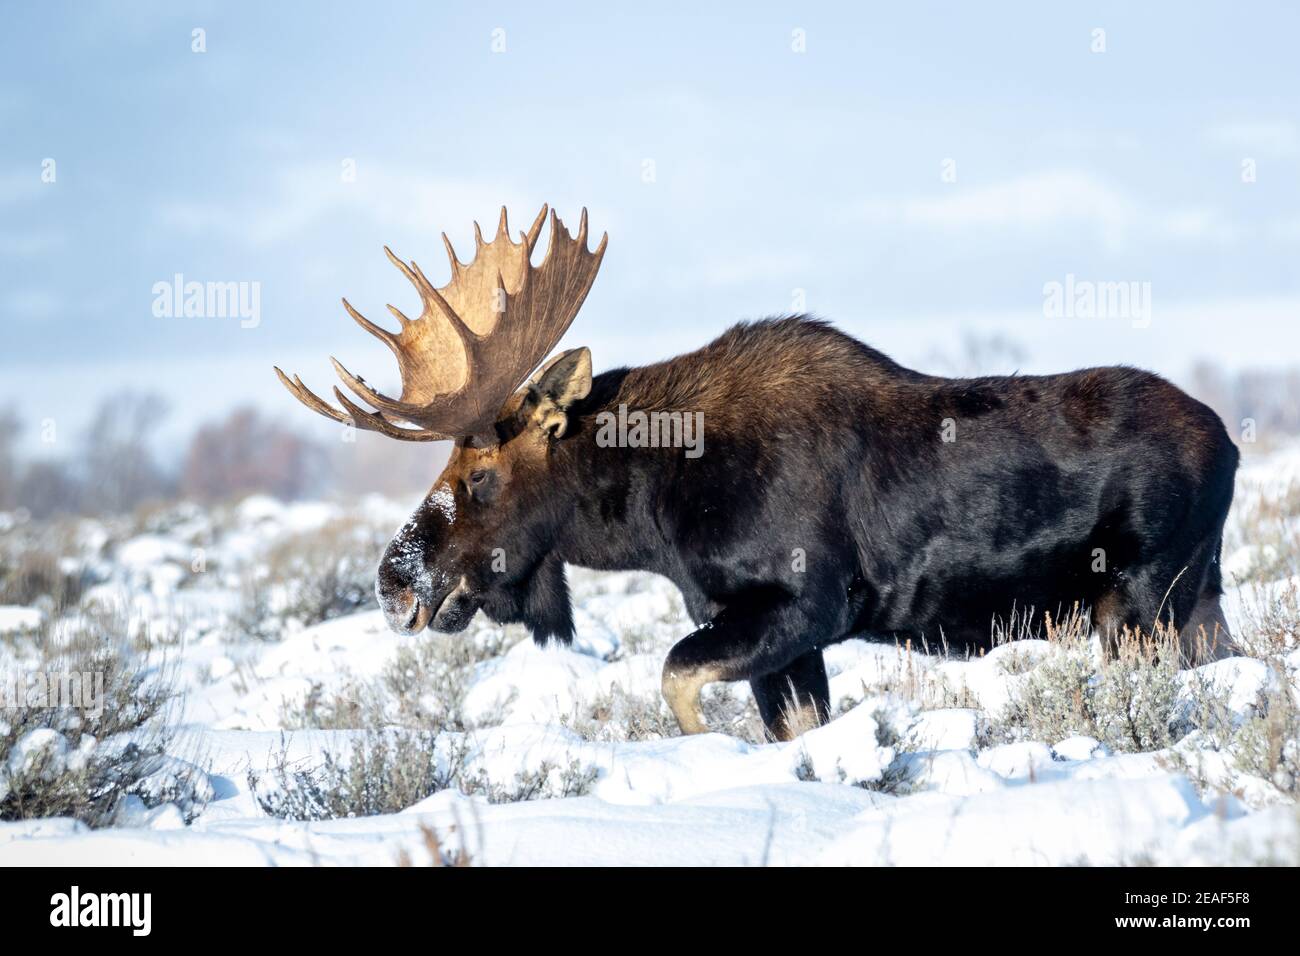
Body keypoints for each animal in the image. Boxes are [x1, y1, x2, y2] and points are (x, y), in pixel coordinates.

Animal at [276, 205, 1239, 742]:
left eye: (479, 474)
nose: (394, 584)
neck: (654, 512)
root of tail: (1229, 442)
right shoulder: (779, 634)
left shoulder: (806, 605)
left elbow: (678, 680)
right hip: (1196, 601)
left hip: (1143, 602)